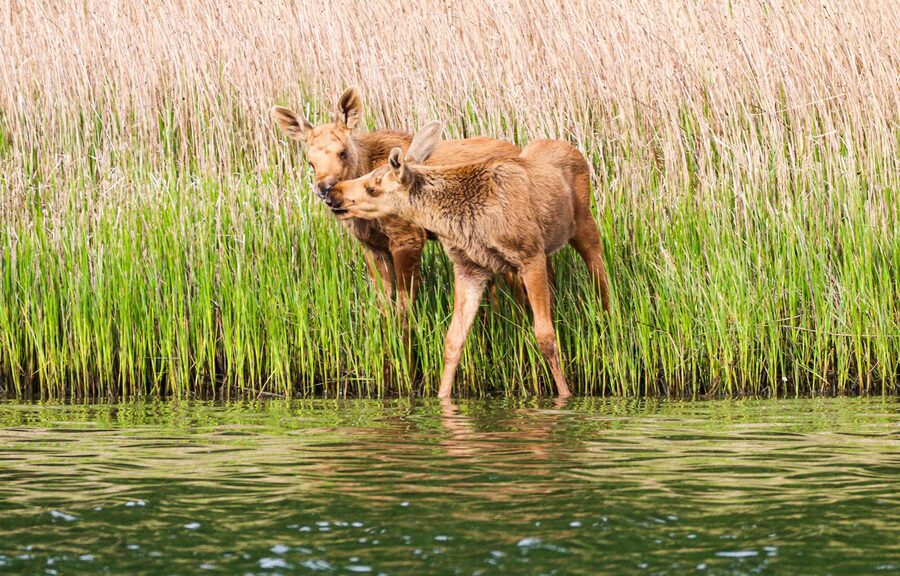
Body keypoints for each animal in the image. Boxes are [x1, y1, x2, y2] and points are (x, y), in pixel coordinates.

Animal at [327, 122, 612, 398]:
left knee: (603, 284)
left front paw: (565, 395)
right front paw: (442, 397)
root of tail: (572, 149)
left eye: (371, 187)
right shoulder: (470, 268)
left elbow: (546, 336)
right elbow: (453, 340)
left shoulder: (530, 256)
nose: (333, 193)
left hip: (585, 229)